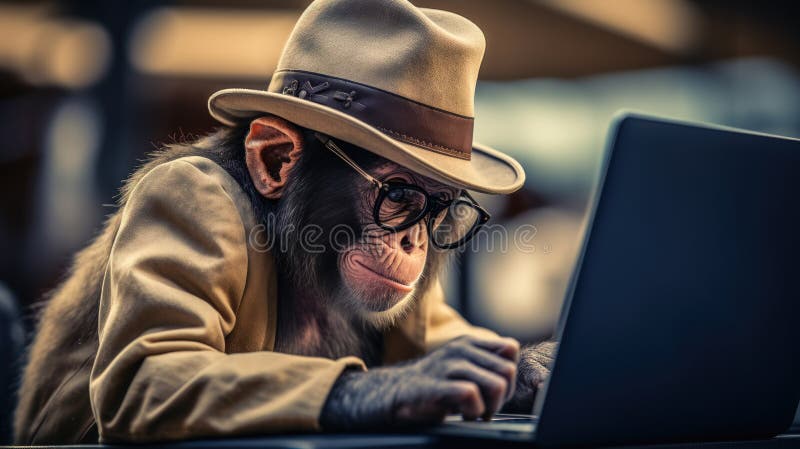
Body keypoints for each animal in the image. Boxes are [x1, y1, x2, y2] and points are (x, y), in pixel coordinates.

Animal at [14, 116, 555, 444]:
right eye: (401, 195)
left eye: (446, 207)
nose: (414, 243)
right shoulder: (191, 199)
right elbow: (150, 366)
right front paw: (414, 381)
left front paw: (535, 367)